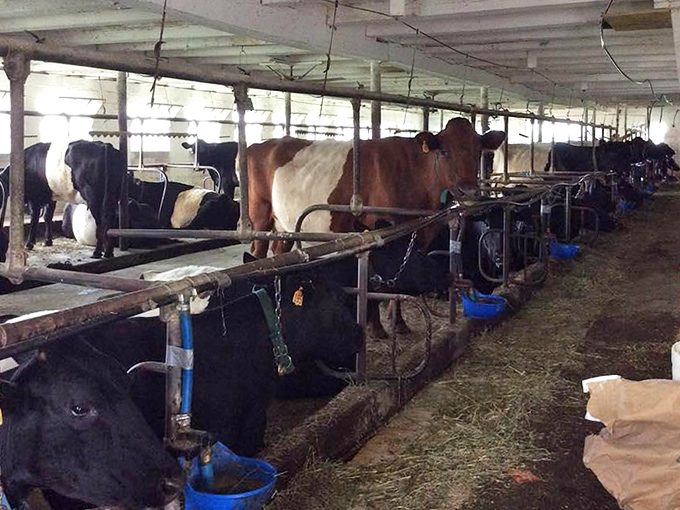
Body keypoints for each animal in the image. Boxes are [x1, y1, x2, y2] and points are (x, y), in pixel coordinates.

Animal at [246, 118, 505, 258]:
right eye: (444, 151)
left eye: (478, 151)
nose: (469, 191)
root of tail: (260, 144)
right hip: (260, 215)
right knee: (257, 251)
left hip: (285, 222)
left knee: (279, 248)